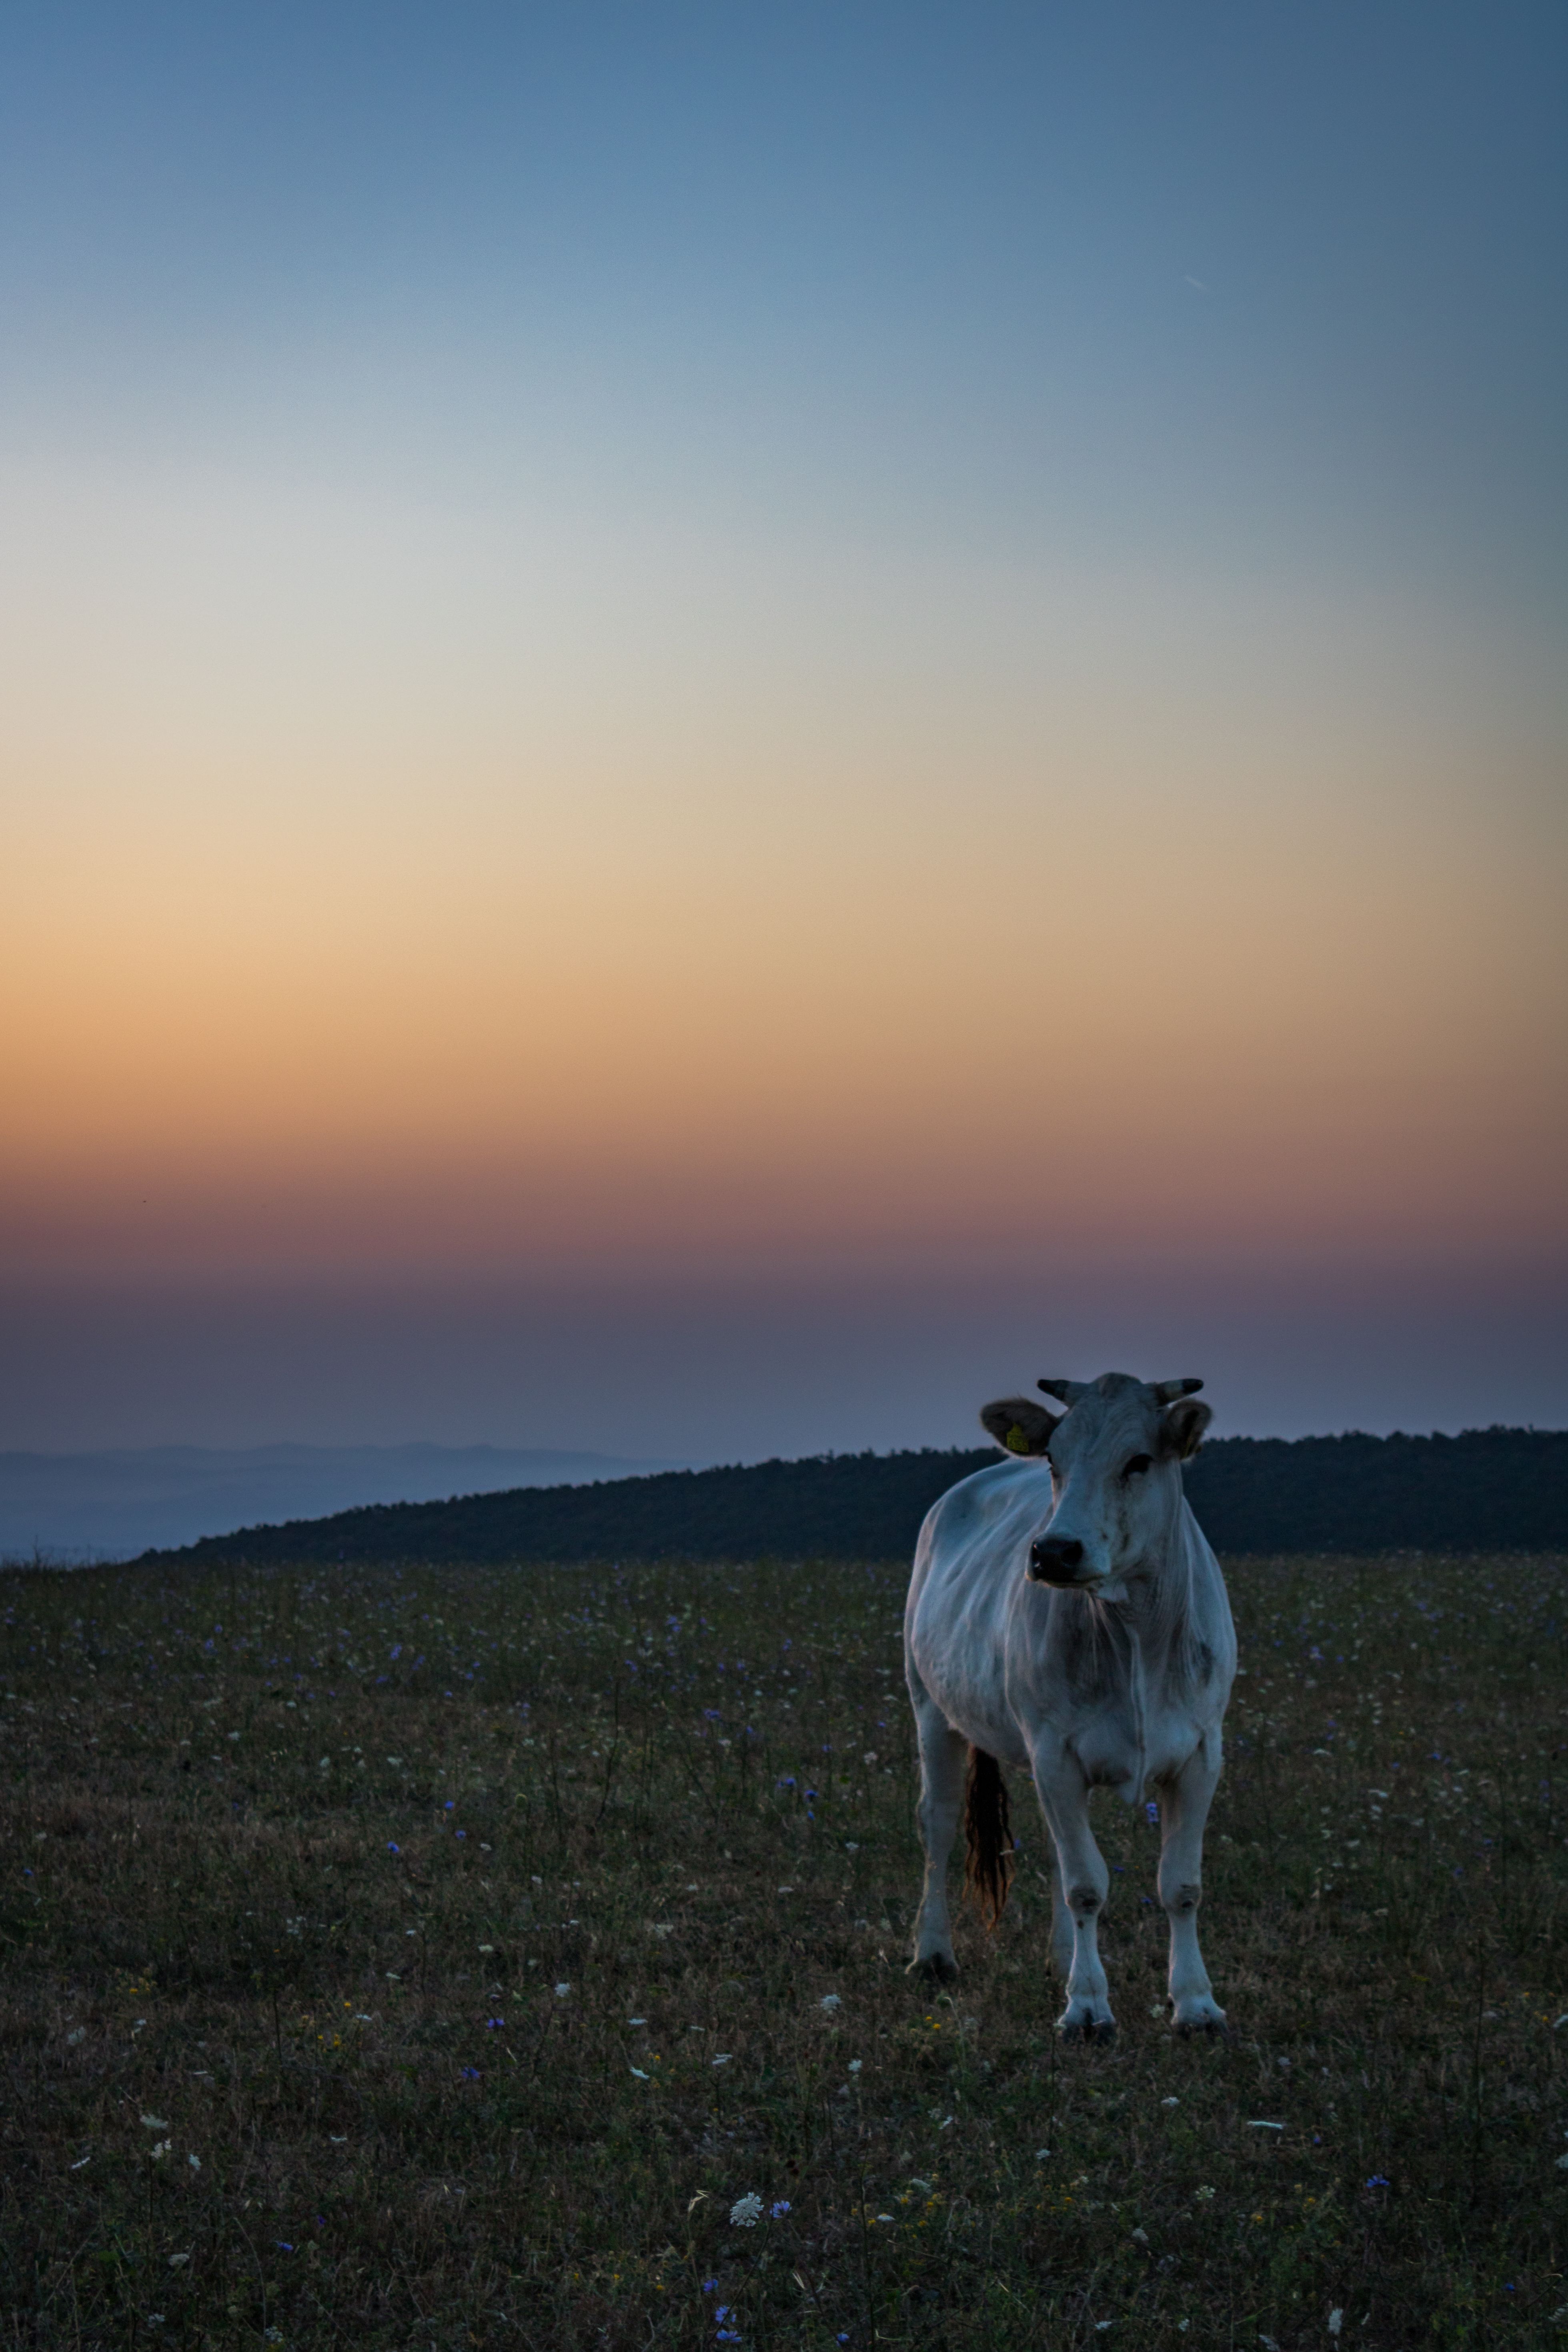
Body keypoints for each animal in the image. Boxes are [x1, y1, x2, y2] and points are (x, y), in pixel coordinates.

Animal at [903, 1370, 1236, 2040]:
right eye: (1054, 1460)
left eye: (1138, 1460)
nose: (1053, 1550)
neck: (1133, 1632)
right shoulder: (1055, 1751)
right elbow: (1085, 1884)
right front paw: (1086, 2007)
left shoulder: (1199, 1751)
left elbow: (1180, 1884)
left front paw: (1194, 2003)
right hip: (930, 1705)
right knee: (939, 1824)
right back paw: (932, 1952)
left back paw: (1060, 1957)